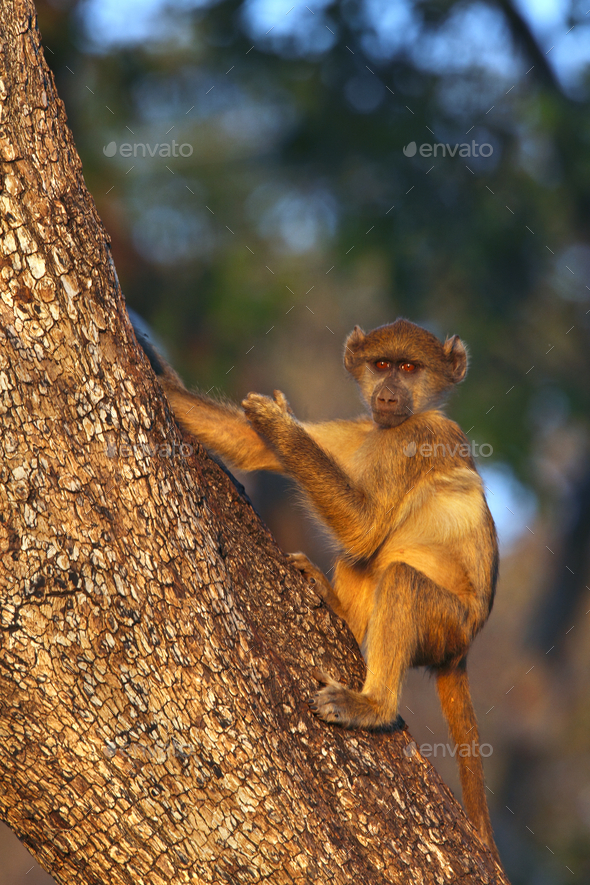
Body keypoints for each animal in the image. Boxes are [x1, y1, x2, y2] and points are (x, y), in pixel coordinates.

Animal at [131, 315, 500, 861]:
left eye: (410, 368)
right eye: (382, 364)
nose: (388, 394)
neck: (390, 429)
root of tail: (465, 649)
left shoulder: (422, 437)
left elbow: (364, 527)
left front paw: (278, 422)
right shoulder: (362, 429)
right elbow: (248, 443)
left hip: (448, 625)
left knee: (398, 575)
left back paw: (372, 706)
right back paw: (336, 604)